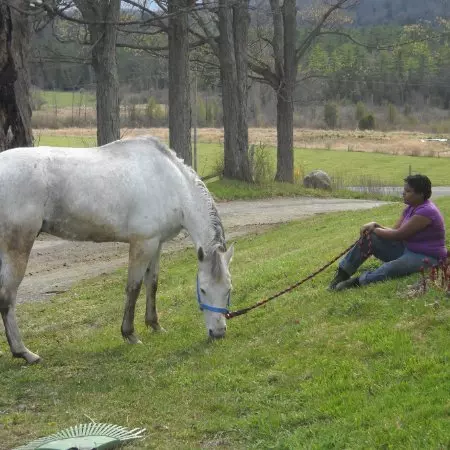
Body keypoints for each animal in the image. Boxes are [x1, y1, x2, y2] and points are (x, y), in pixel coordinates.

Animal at [0, 135, 232, 364]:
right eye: (203, 289)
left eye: (229, 289)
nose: (218, 333)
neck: (169, 183)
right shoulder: (143, 243)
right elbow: (134, 287)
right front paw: (130, 334)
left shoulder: (156, 244)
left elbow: (152, 284)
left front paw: (155, 325)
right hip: (18, 246)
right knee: (7, 296)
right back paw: (25, 353)